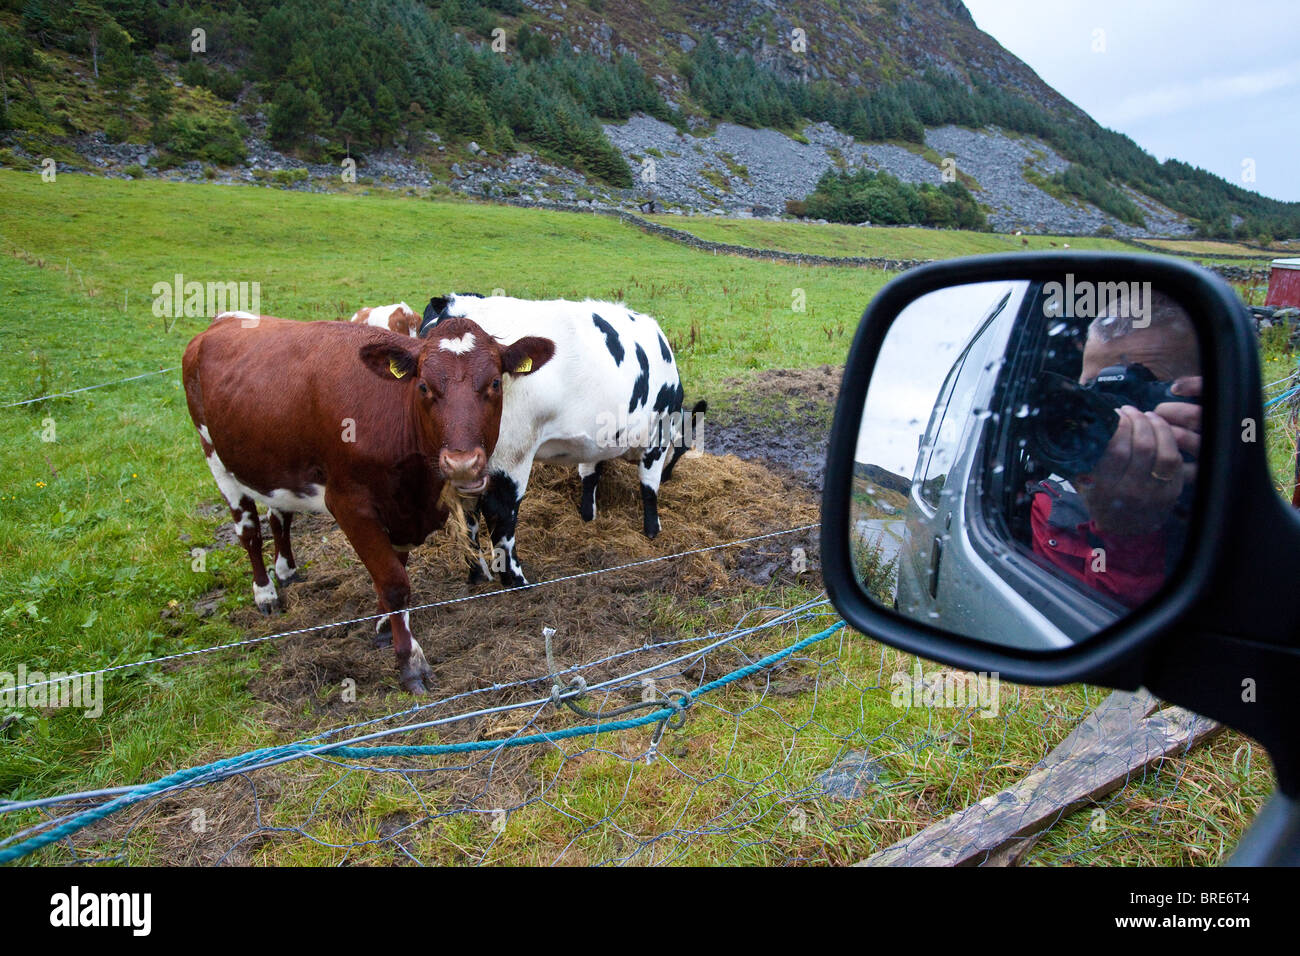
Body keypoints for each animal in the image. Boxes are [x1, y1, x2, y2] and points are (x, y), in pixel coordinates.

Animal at [182, 310, 555, 692]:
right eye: (423, 386)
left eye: (495, 383)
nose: (462, 464)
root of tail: (226, 319)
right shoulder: (349, 504)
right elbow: (394, 583)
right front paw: (410, 662)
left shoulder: (405, 512)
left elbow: (393, 571)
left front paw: (384, 628)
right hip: (216, 458)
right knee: (250, 533)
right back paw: (265, 592)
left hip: (273, 464)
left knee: (279, 517)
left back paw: (286, 570)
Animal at [413, 293, 706, 587]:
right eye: (681, 452)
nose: (670, 477)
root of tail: (452, 306)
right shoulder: (658, 436)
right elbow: (649, 488)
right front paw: (653, 530)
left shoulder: (595, 441)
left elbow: (590, 475)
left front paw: (588, 516)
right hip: (511, 452)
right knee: (501, 513)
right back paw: (516, 579)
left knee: (467, 513)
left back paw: (478, 574)